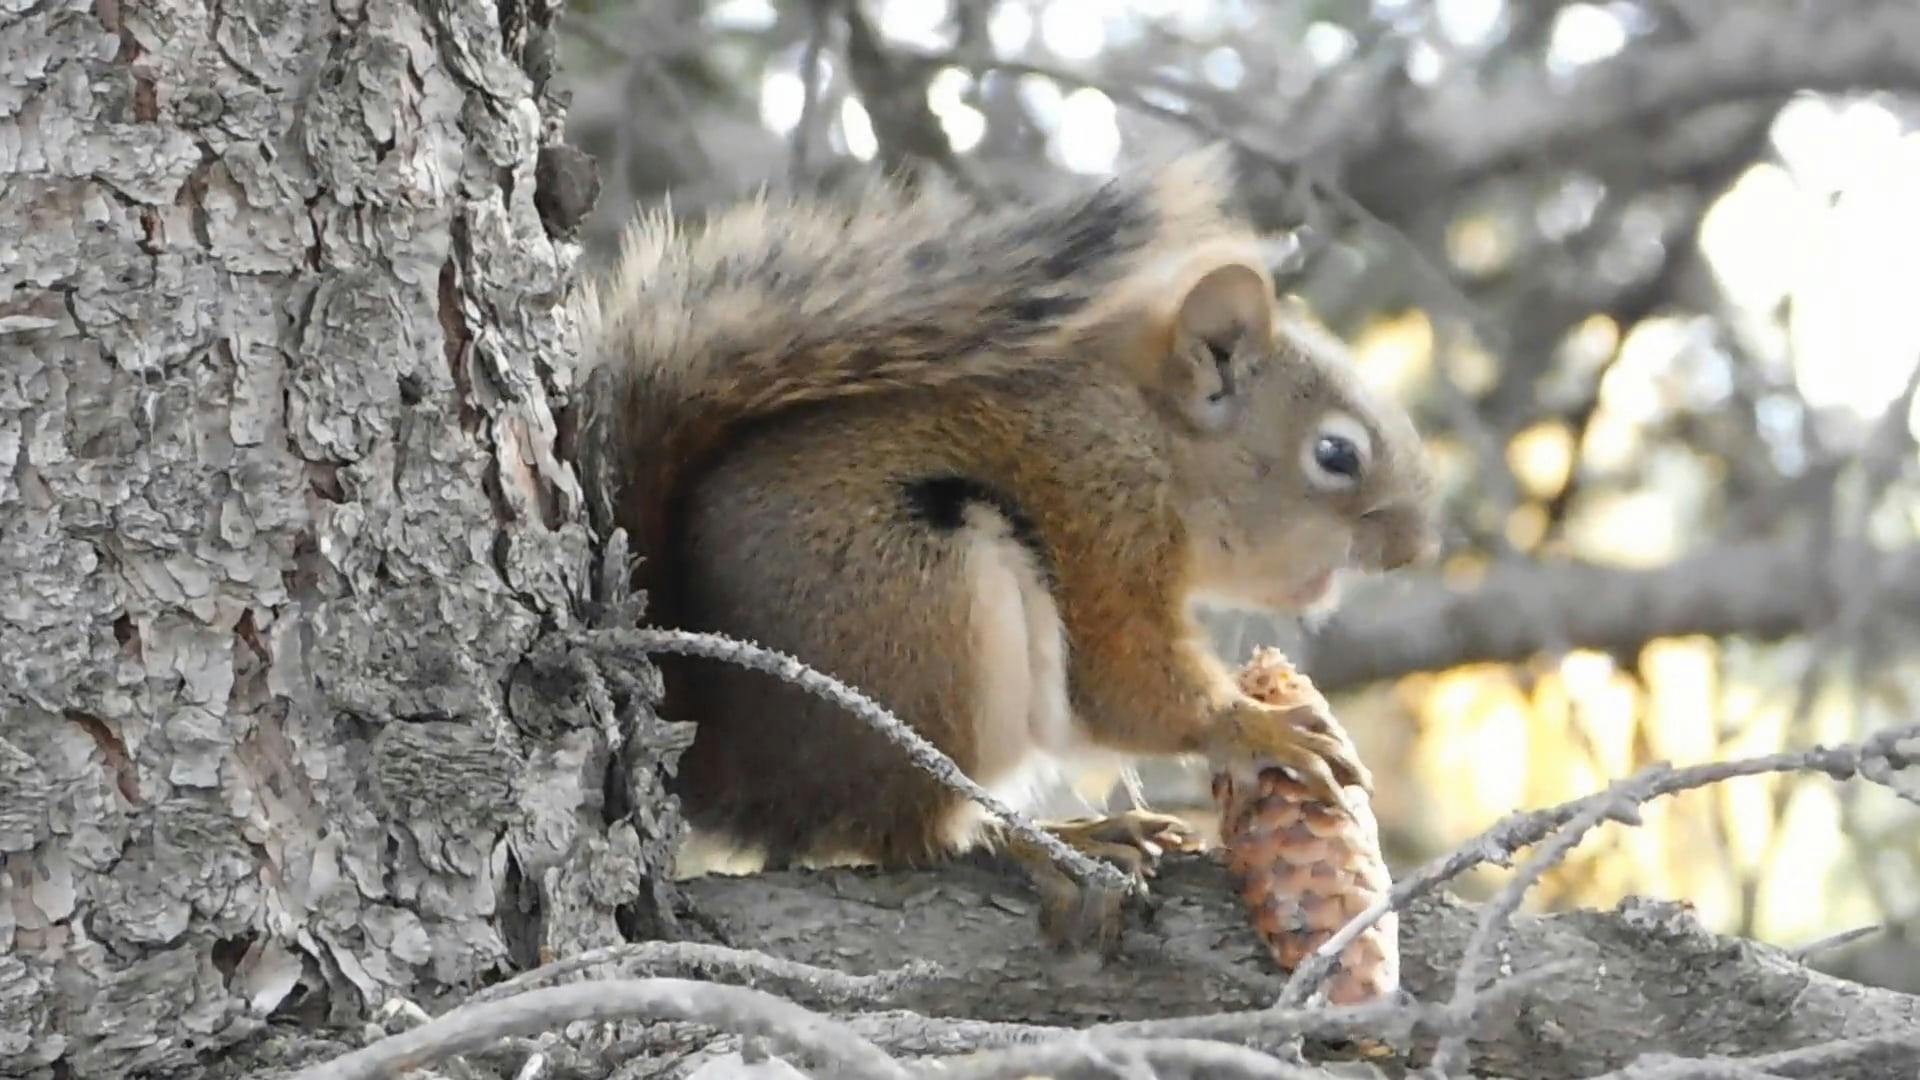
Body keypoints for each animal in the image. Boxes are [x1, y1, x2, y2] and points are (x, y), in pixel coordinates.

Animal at [573, 146, 1437, 937]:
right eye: (1336, 454)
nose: (1415, 548)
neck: (1153, 436)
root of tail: (738, 777)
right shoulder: (1096, 506)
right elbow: (1120, 682)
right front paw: (1258, 727)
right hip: (930, 617)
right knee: (915, 832)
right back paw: (1056, 840)